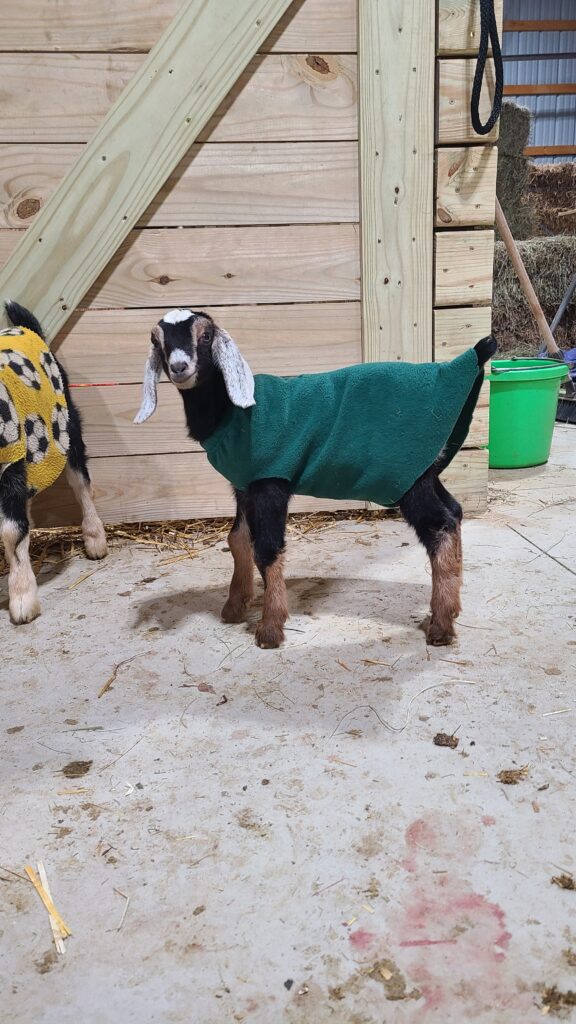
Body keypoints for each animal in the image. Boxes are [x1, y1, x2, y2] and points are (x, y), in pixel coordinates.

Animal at [0, 302, 107, 623]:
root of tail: (24, 328)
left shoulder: (9, 463)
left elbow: (10, 530)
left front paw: (23, 600)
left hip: (66, 424)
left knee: (80, 483)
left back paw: (95, 539)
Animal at [135, 309, 496, 648]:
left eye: (206, 335)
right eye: (156, 340)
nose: (180, 366)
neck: (229, 412)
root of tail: (466, 361)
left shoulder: (270, 481)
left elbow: (267, 549)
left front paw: (270, 628)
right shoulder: (244, 485)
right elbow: (237, 541)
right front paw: (235, 607)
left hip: (404, 476)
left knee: (441, 524)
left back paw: (442, 626)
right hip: (424, 471)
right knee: (455, 511)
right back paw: (449, 609)